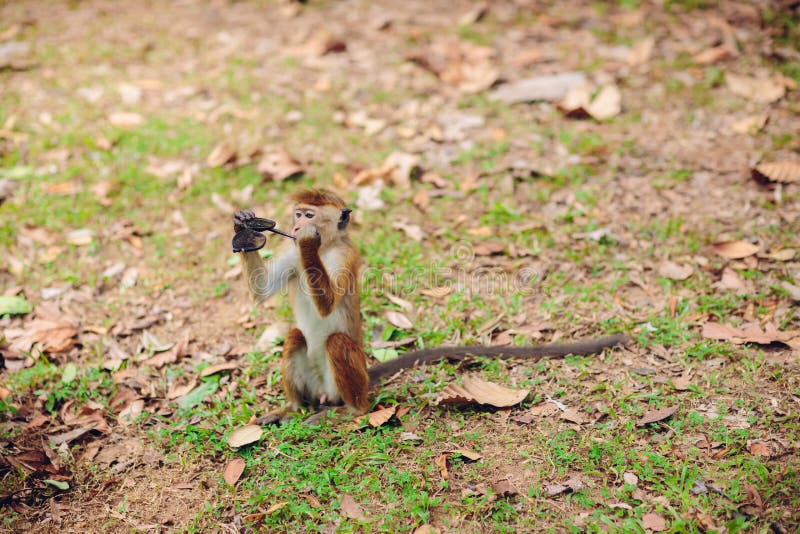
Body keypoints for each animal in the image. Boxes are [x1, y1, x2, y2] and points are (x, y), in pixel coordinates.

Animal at [233, 188, 628, 425]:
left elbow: (330, 304)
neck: (329, 246)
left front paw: (306, 243)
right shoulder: (290, 256)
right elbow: (262, 290)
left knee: (336, 343)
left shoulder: (345, 257)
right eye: (299, 213)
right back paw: (293, 407)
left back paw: (351, 411)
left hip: (347, 381)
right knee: (296, 337)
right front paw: (244, 226)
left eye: (310, 216)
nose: (298, 223)